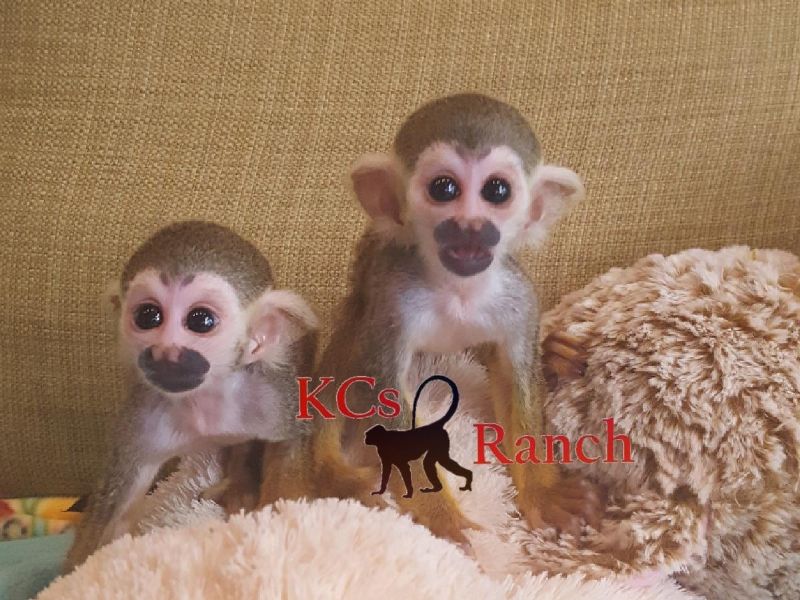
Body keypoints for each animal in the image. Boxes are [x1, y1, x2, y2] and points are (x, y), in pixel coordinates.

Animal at [63, 220, 318, 572]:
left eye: (201, 320)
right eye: (148, 316)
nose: (165, 351)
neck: (205, 399)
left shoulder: (269, 398)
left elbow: (291, 442)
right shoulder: (142, 418)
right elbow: (111, 511)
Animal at [260, 93, 602, 543]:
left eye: (497, 190)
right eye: (444, 188)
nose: (470, 226)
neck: (457, 291)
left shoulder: (520, 300)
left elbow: (515, 378)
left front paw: (542, 493)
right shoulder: (394, 299)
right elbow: (386, 393)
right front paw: (441, 515)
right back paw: (333, 471)